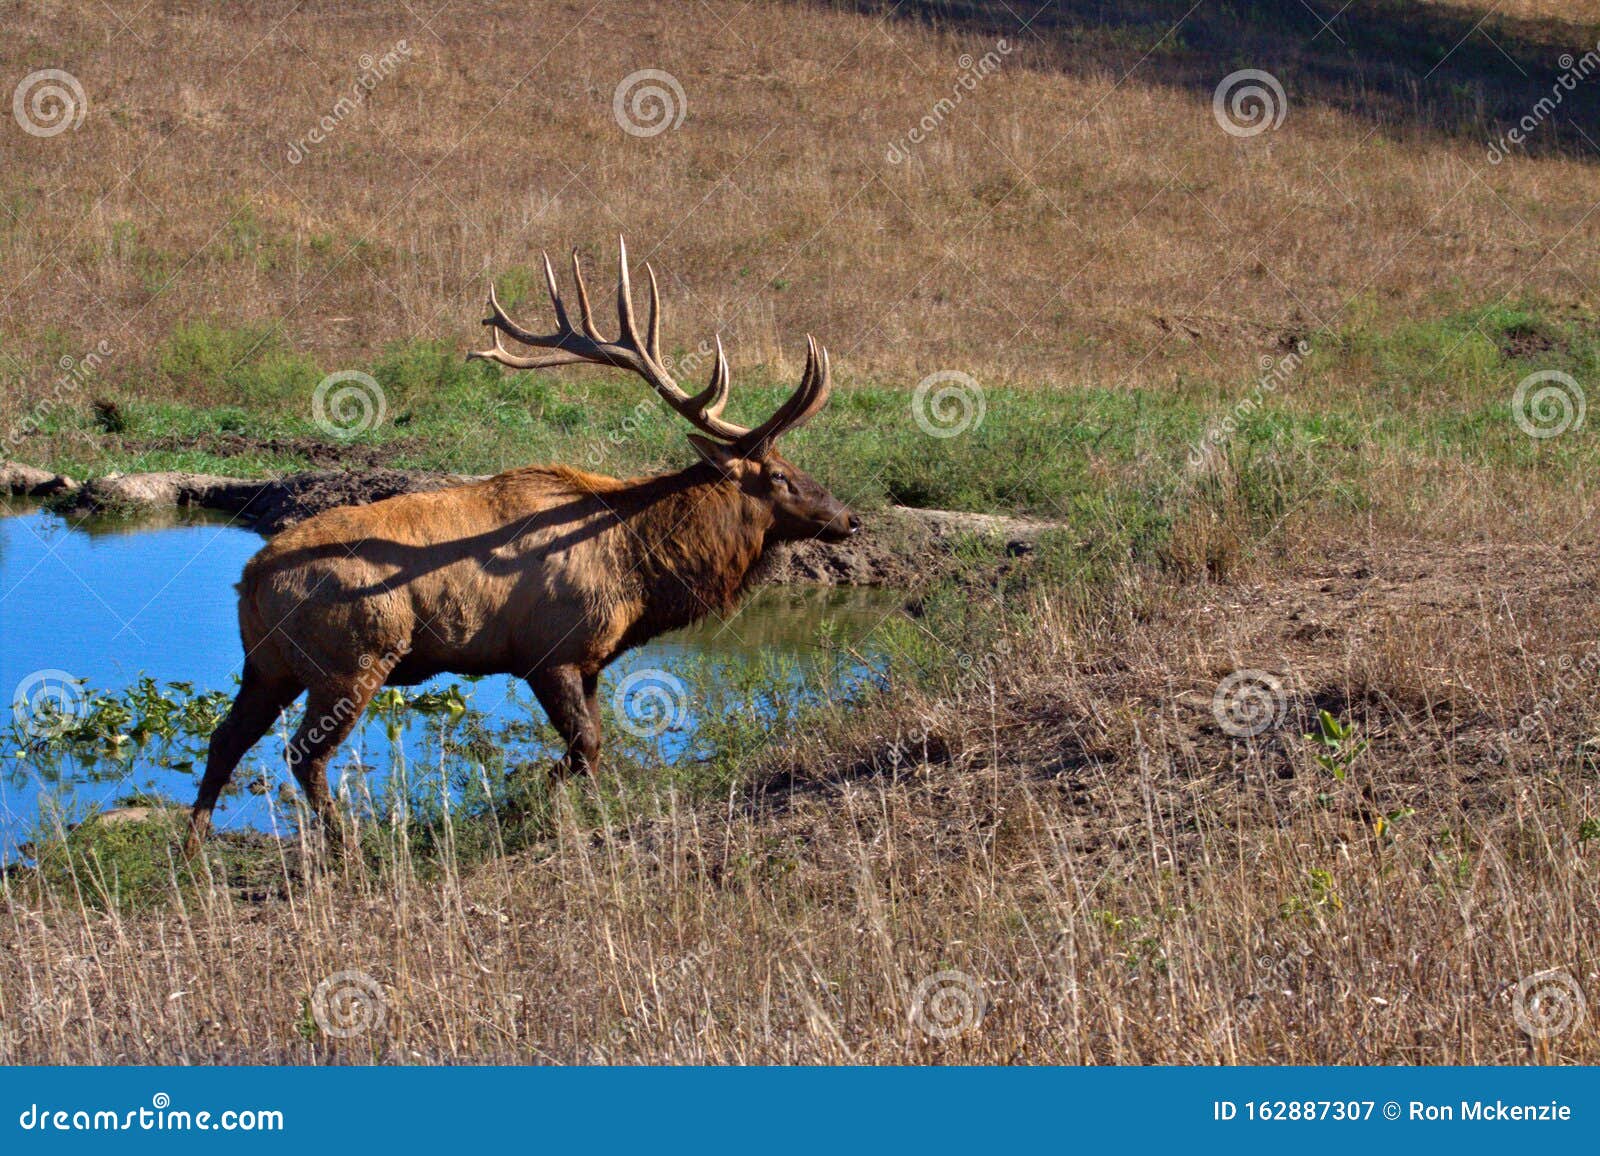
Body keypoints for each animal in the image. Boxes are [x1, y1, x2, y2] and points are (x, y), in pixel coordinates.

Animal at [184, 238, 858, 856]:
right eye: (779, 476)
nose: (848, 519)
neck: (639, 571)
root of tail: (251, 580)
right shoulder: (548, 649)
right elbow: (584, 747)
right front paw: (520, 802)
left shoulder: (591, 659)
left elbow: (596, 749)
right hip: (353, 657)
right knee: (303, 753)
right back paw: (350, 845)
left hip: (269, 663)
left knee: (227, 737)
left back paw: (193, 846)